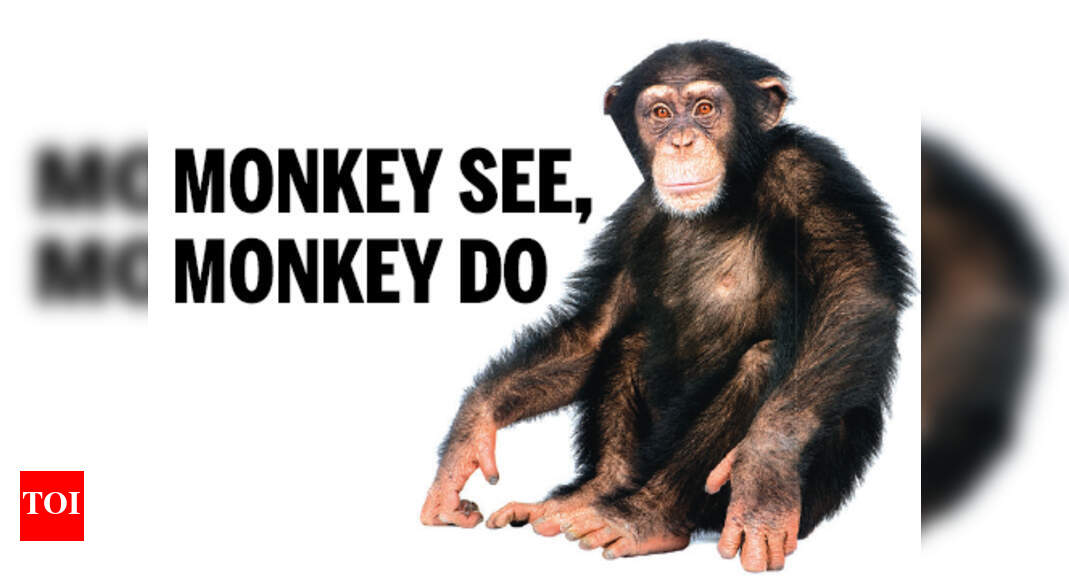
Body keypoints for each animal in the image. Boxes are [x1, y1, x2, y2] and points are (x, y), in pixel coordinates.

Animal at [420, 41, 911, 572]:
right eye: (659, 113)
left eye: (705, 108)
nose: (680, 141)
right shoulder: (637, 214)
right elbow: (596, 330)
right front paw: (470, 431)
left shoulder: (809, 175)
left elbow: (852, 290)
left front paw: (764, 470)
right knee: (627, 342)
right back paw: (589, 496)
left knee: (761, 363)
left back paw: (644, 518)